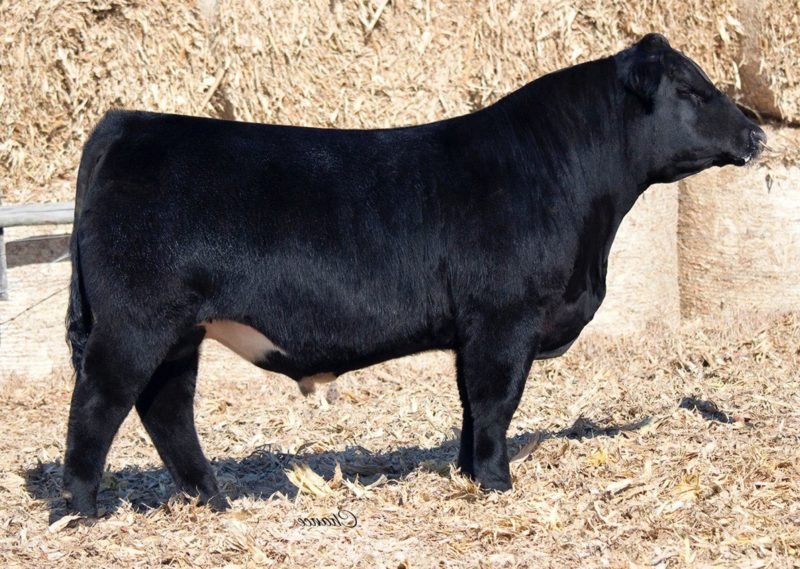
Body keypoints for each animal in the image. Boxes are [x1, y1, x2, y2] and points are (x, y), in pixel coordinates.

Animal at [62, 33, 765, 517]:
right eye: (693, 91)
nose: (756, 133)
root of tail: (129, 122)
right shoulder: (505, 319)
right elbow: (496, 402)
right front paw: (497, 482)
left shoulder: (474, 332)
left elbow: (472, 406)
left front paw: (469, 474)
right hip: (136, 322)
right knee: (100, 402)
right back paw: (78, 512)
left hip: (181, 331)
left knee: (166, 408)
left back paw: (211, 499)